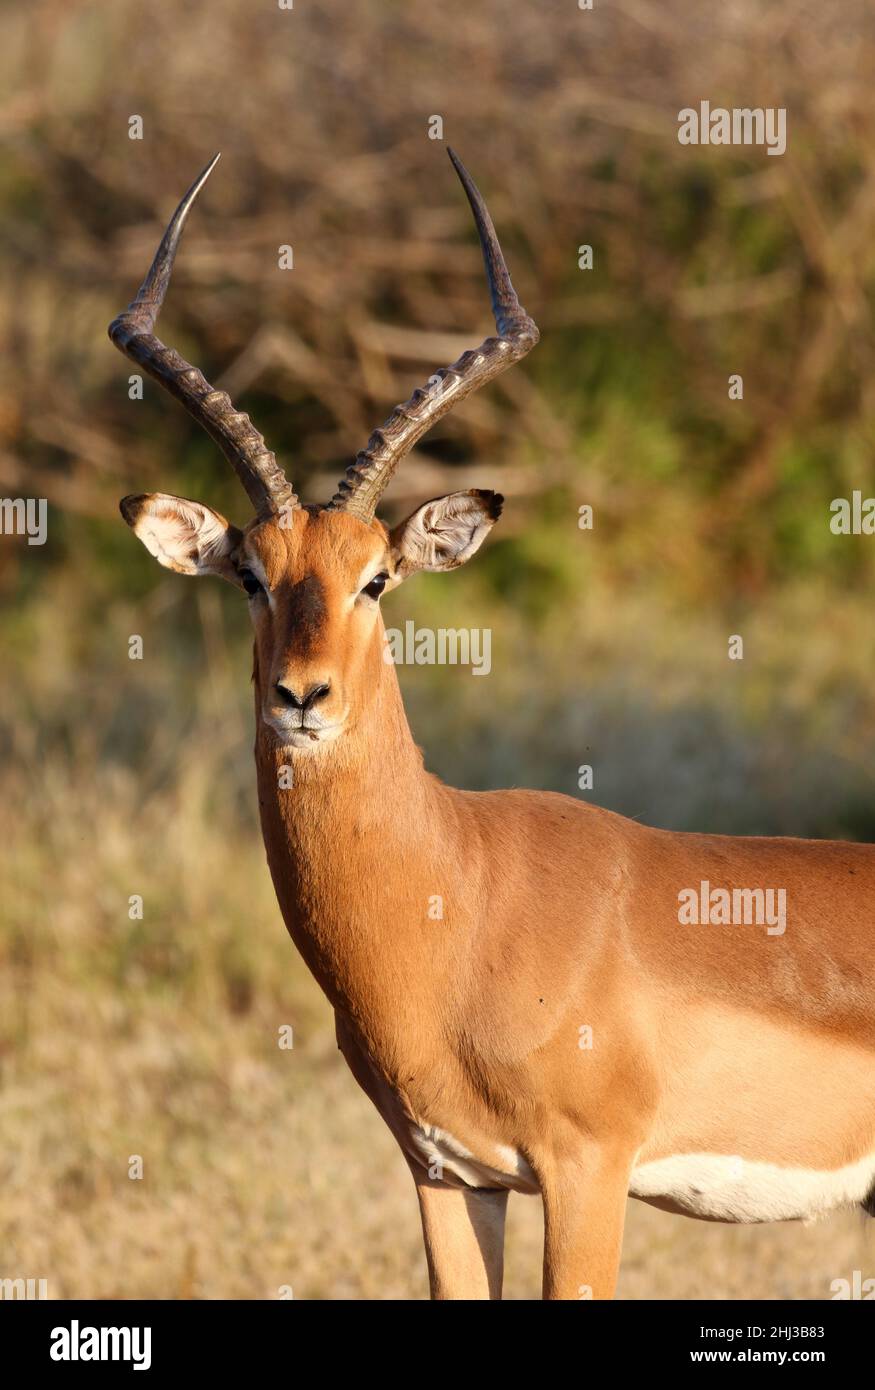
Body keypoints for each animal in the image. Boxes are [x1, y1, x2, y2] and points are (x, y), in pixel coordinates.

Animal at [111, 151, 875, 1301]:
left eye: (377, 577)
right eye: (250, 574)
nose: (301, 698)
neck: (456, 890)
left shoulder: (585, 1167)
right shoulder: (445, 1169)